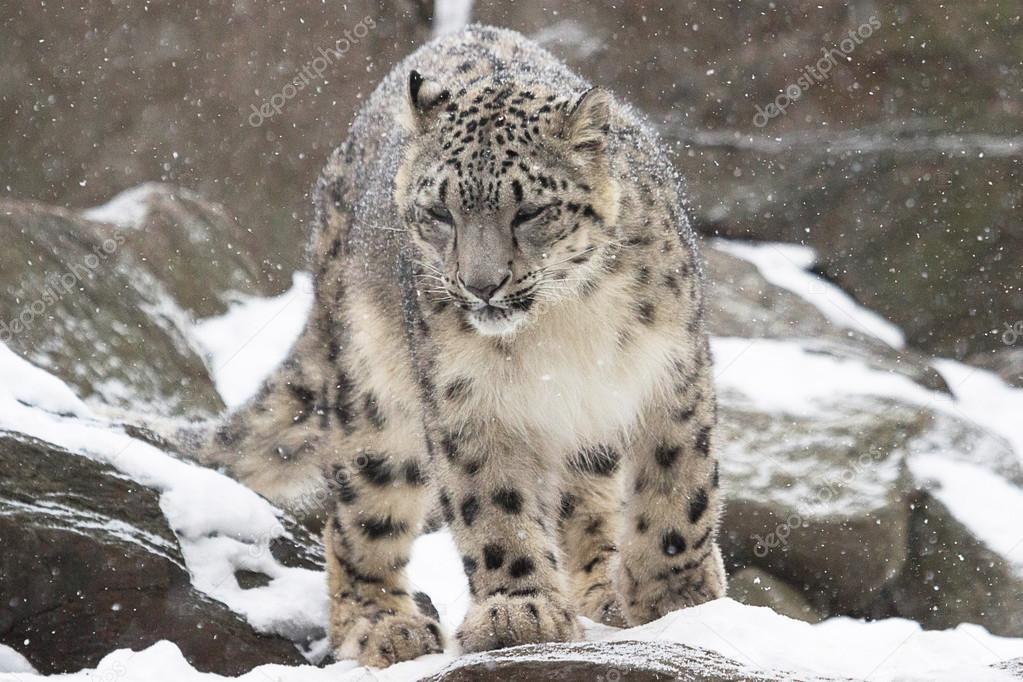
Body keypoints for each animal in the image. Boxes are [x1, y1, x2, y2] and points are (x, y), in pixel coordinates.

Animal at [192, 24, 726, 668]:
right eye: (440, 211)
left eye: (530, 210)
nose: (480, 283)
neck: (562, 324)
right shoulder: (467, 397)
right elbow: (494, 506)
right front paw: (520, 612)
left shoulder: (672, 372)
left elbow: (678, 489)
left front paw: (679, 598)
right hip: (375, 396)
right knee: (358, 516)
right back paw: (383, 625)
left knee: (586, 500)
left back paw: (603, 591)